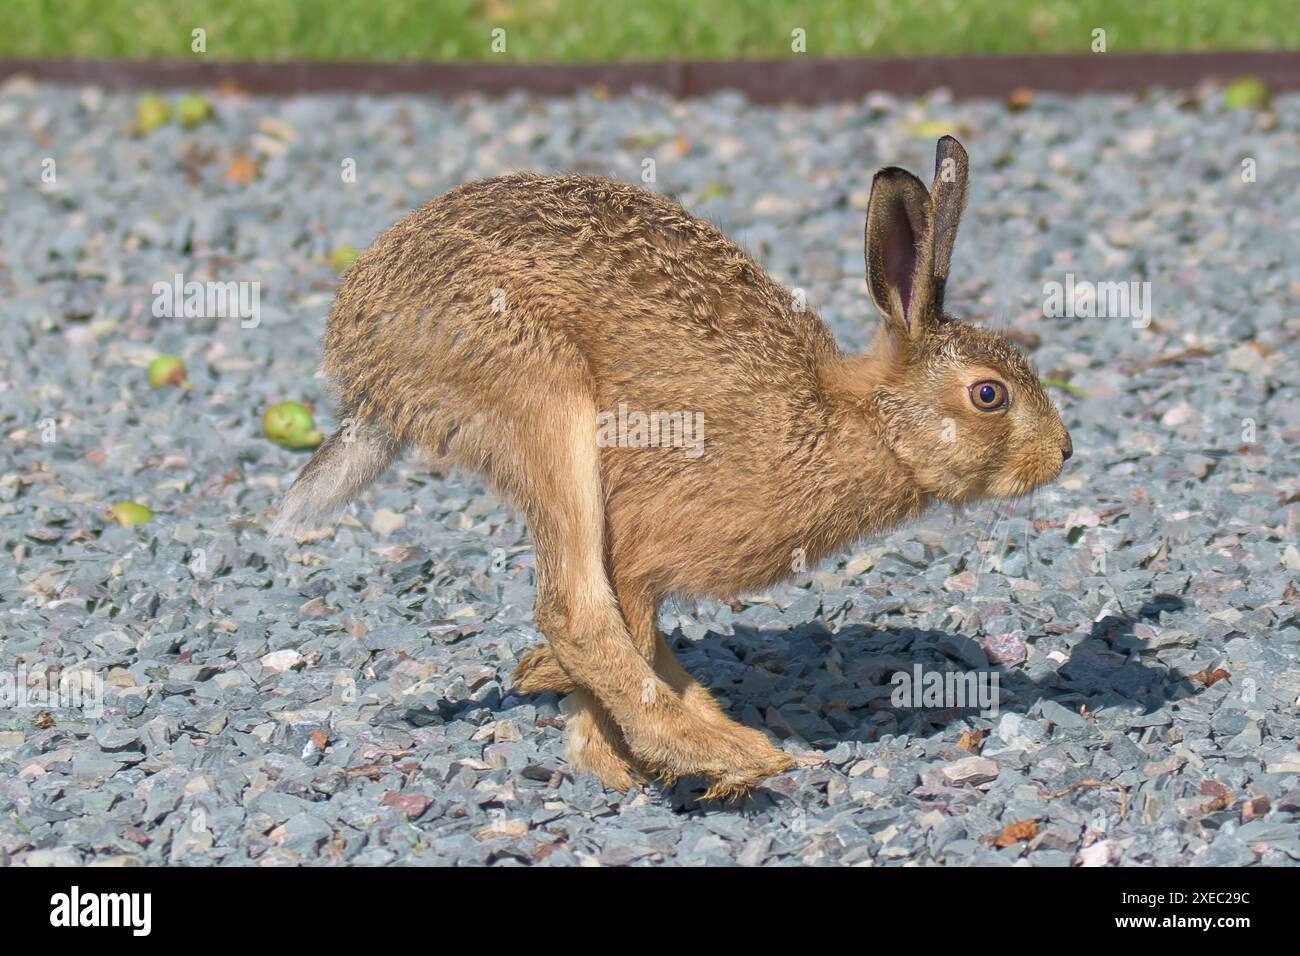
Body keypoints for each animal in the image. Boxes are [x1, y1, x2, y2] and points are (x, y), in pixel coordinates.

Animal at [273, 136, 1072, 799]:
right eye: (989, 395)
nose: (1063, 452)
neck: (858, 421)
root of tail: (362, 349)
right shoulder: (640, 545)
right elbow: (617, 630)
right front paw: (610, 754)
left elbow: (647, 643)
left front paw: (579, 715)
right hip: (542, 403)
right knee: (572, 609)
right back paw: (733, 755)